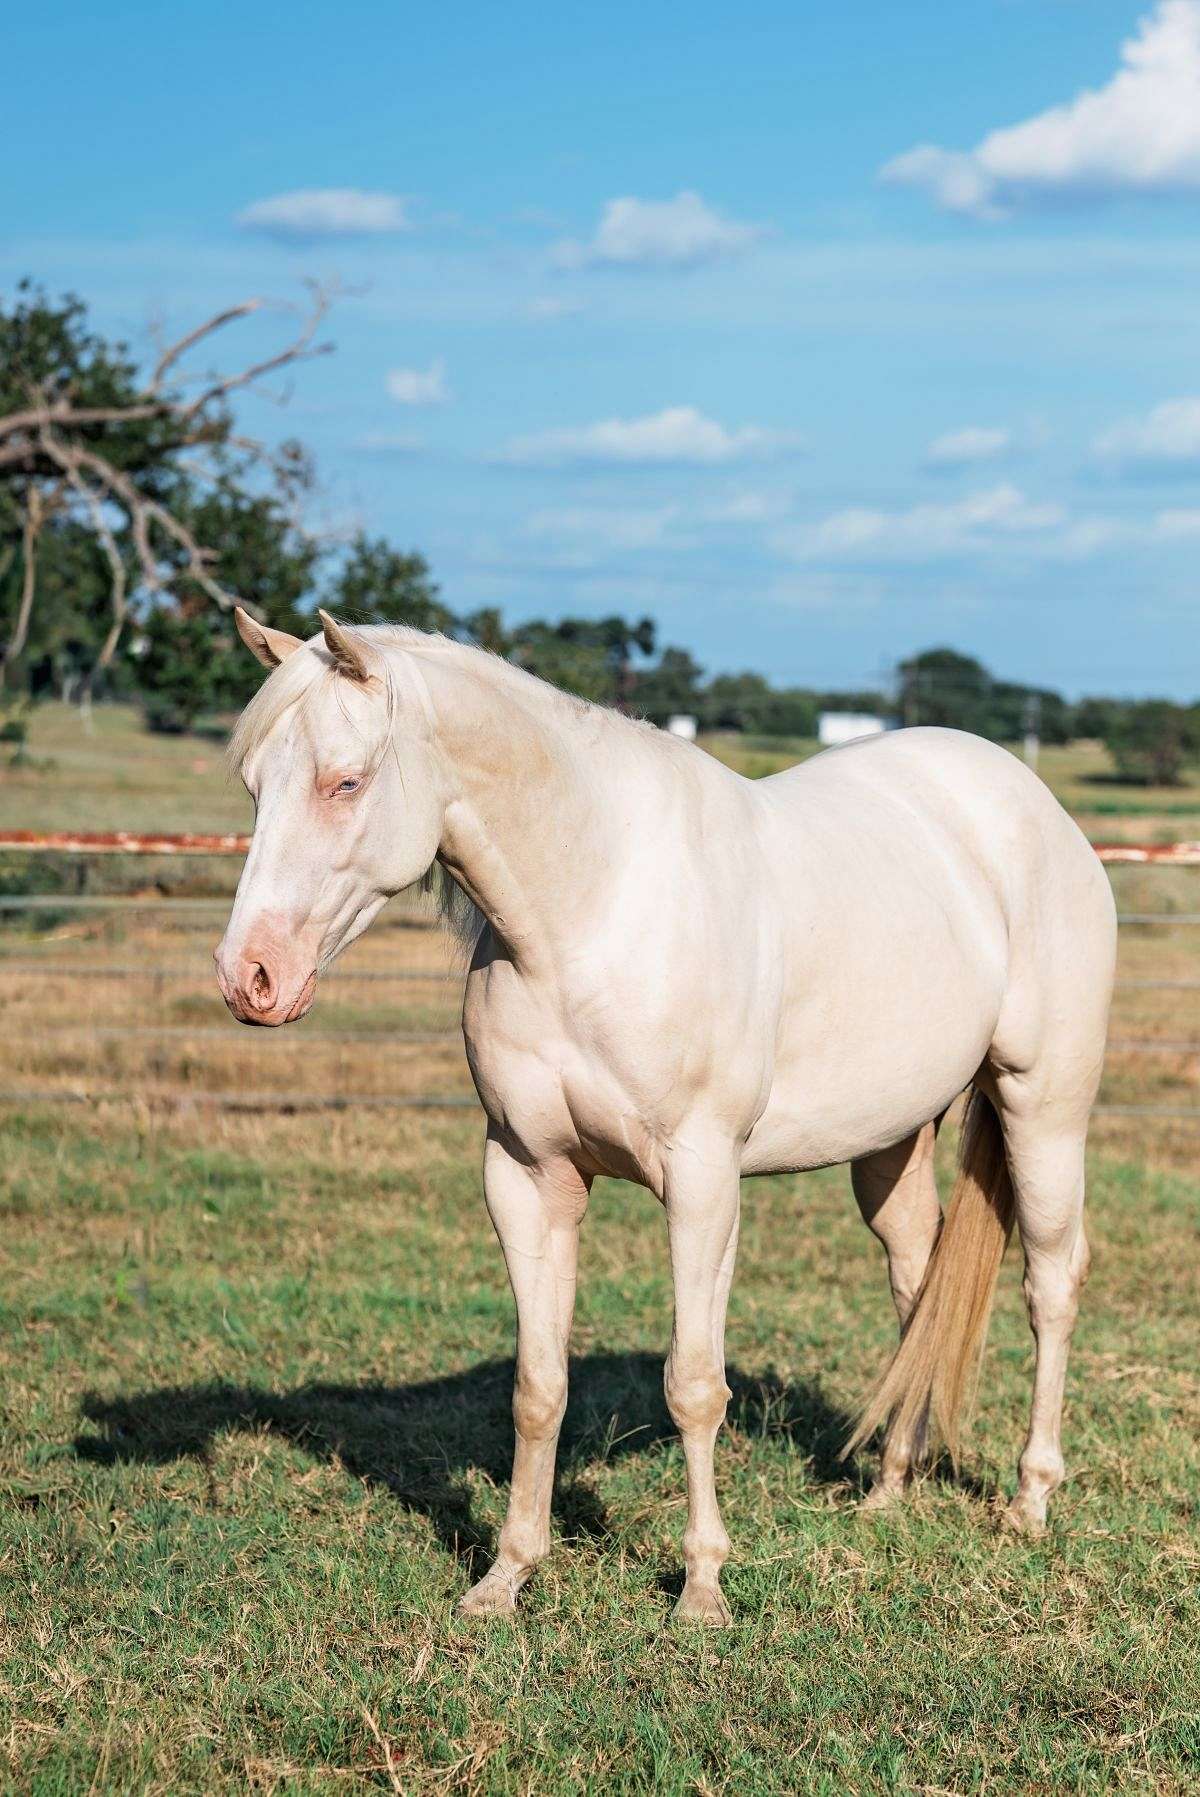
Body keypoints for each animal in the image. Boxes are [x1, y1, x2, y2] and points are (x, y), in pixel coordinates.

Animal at [215, 608, 1116, 1625]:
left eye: (346, 781)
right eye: (255, 785)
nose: (250, 979)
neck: (589, 909)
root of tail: (1036, 807)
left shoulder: (700, 1178)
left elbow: (692, 1383)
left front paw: (702, 1590)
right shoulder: (525, 1175)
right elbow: (538, 1386)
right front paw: (506, 1577)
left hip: (1043, 1105)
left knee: (1052, 1281)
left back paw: (1030, 1500)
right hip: (892, 1142)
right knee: (917, 1284)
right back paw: (890, 1486)